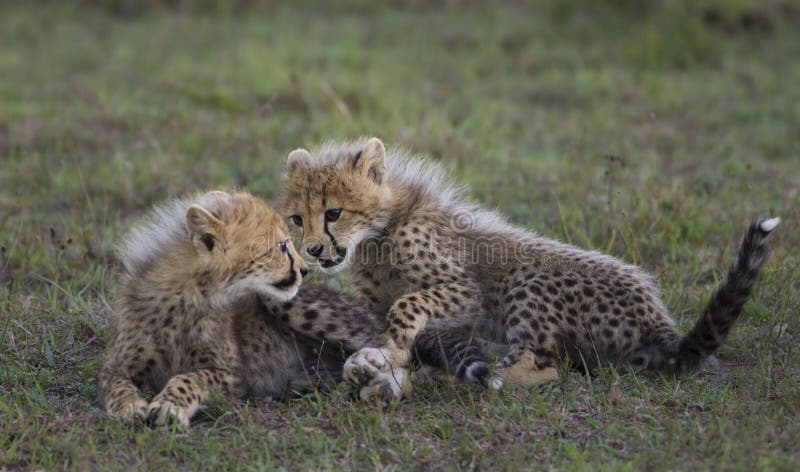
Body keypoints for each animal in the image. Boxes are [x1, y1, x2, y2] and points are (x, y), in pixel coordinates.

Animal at [281, 137, 780, 402]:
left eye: (333, 213)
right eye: (297, 218)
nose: (313, 250)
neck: (377, 238)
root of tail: (657, 319)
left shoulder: (463, 291)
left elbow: (406, 305)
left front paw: (392, 357)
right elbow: (387, 324)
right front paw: (379, 366)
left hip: (531, 282)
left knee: (542, 367)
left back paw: (468, 376)